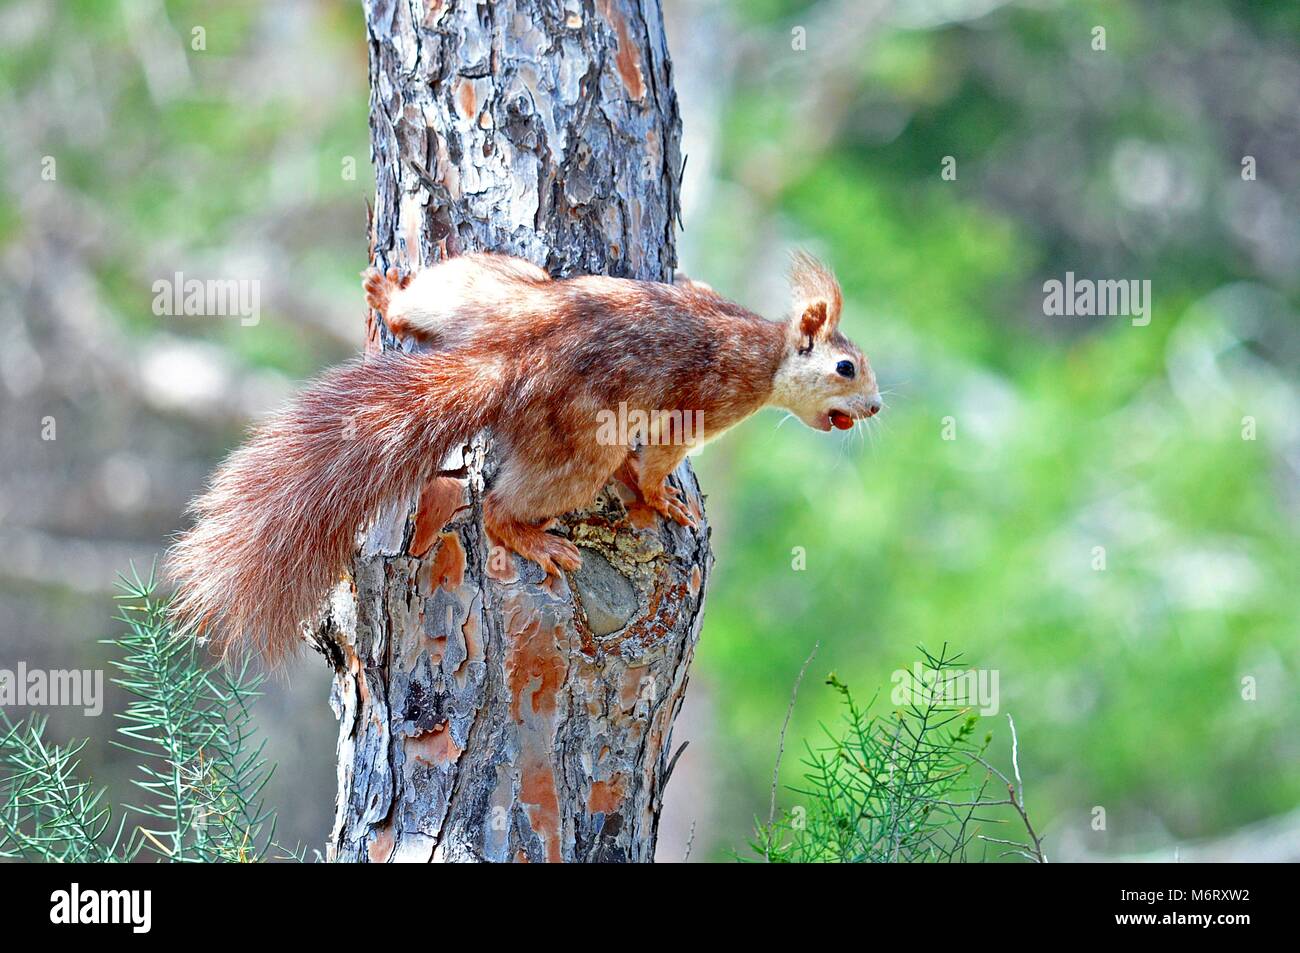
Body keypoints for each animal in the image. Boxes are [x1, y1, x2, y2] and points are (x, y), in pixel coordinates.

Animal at [165, 252, 881, 660]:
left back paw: (389, 296)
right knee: (502, 508)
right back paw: (533, 538)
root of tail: (508, 357)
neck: (765, 349)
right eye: (846, 368)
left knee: (424, 303)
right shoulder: (706, 402)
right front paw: (662, 501)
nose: (875, 408)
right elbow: (655, 462)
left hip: (486, 285)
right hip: (580, 444)